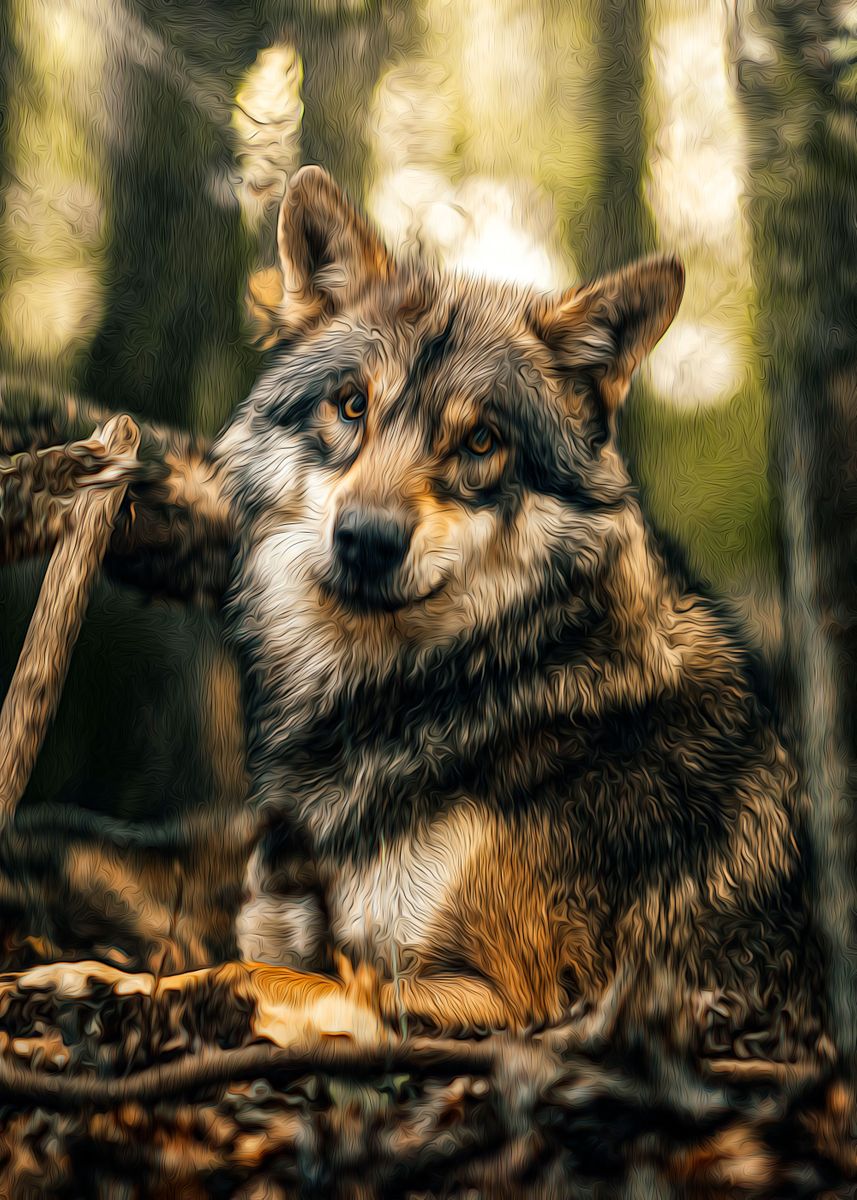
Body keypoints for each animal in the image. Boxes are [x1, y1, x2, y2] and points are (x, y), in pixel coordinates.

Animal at [199, 165, 825, 1061]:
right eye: (351, 406)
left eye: (481, 442)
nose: (366, 541)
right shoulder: (280, 923)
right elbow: (241, 955)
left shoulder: (508, 997)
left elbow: (230, 972)